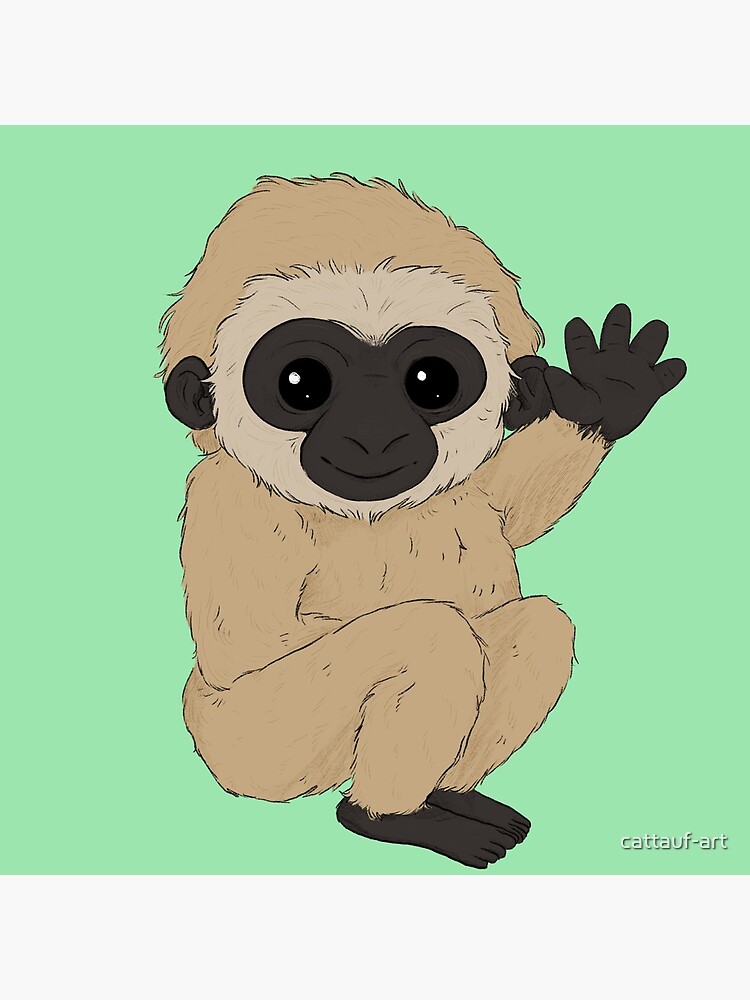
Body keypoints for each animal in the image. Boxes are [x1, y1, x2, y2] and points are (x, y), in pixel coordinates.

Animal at [159, 174, 686, 869]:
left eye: (431, 382)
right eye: (301, 384)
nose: (373, 434)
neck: (368, 516)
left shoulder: (470, 494)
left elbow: (513, 512)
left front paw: (606, 395)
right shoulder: (231, 504)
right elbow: (250, 642)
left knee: (537, 629)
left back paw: (443, 796)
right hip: (264, 741)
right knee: (429, 636)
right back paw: (385, 817)